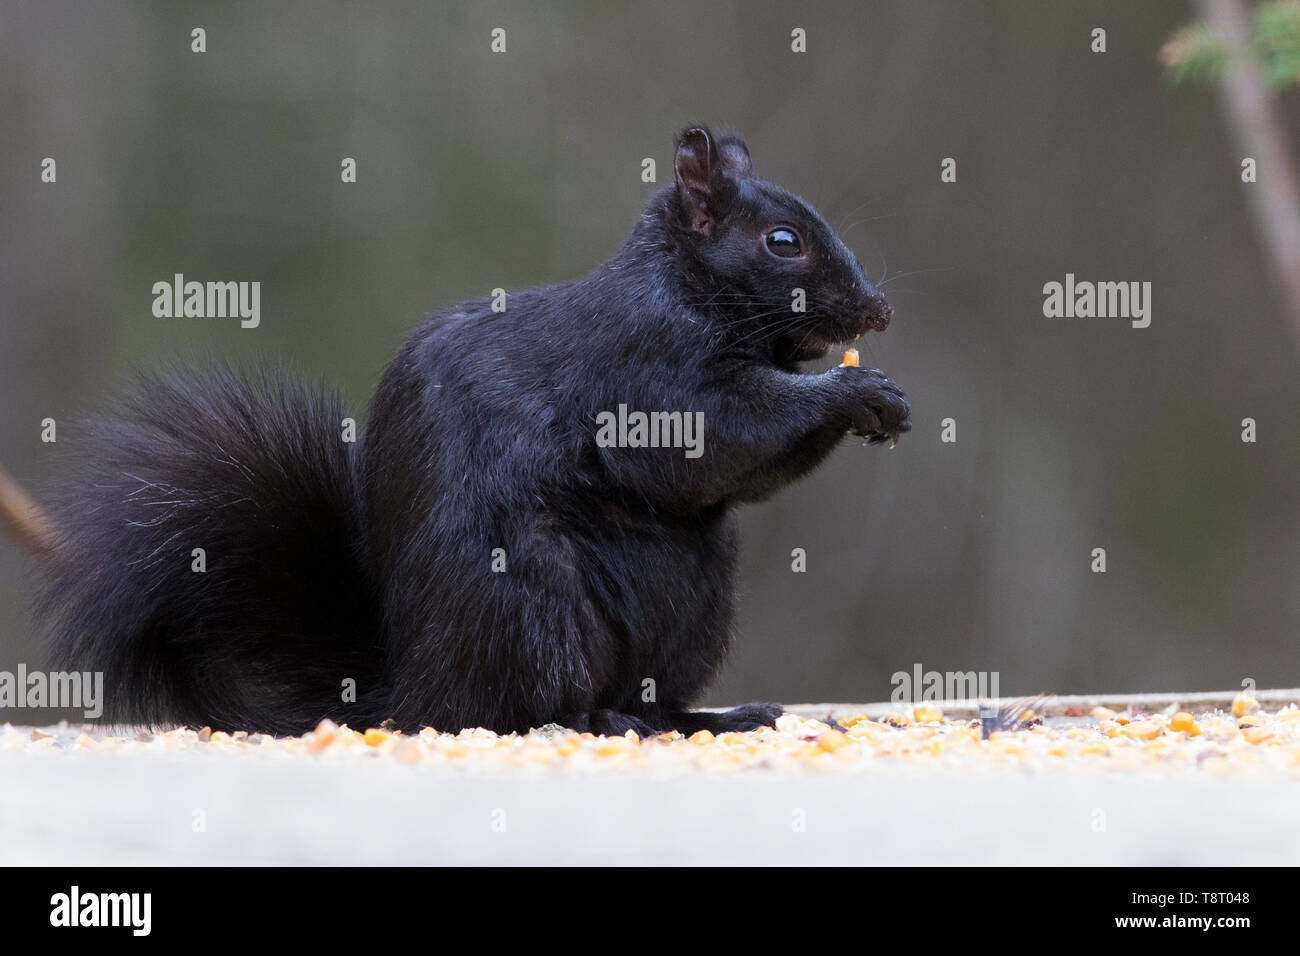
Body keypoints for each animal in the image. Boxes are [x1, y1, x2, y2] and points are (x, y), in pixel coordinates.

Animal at [36, 126, 911, 737]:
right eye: (782, 242)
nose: (877, 311)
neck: (688, 290)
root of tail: (413, 689)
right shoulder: (644, 369)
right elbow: (702, 440)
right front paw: (849, 389)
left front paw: (884, 402)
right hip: (531, 600)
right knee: (527, 707)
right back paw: (600, 719)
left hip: (695, 607)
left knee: (648, 696)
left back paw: (708, 718)